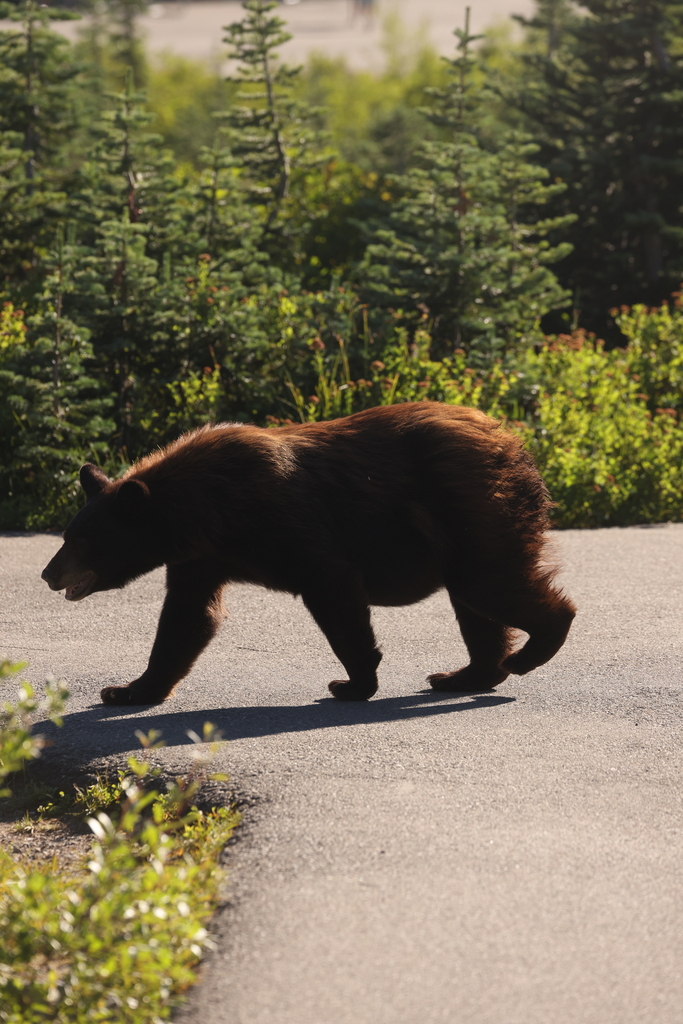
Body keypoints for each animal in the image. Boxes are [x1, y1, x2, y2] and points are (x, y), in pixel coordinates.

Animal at [41, 402, 576, 706]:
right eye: (68, 534)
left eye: (81, 540)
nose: (47, 573)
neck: (205, 510)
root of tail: (511, 438)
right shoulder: (200, 559)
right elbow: (187, 619)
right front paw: (126, 690)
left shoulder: (288, 526)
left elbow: (333, 589)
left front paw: (352, 684)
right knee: (475, 603)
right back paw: (465, 674)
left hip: (471, 506)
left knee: (487, 583)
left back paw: (531, 651)